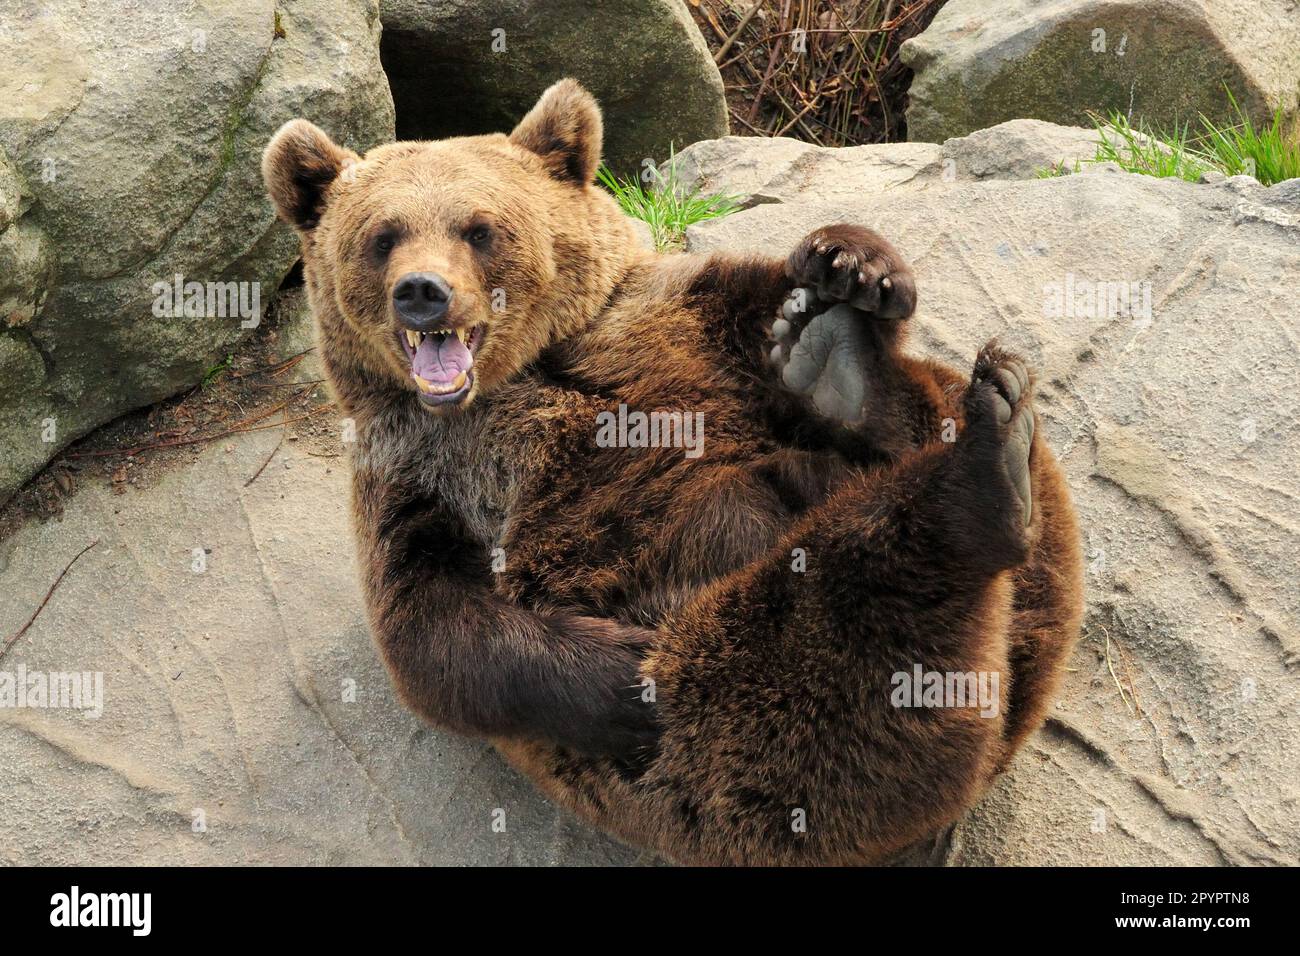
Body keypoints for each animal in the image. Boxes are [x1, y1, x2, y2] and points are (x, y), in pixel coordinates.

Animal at [261, 78, 1084, 866]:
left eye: (479, 228)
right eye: (383, 237)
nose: (423, 292)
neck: (522, 370)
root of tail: (1013, 707)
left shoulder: (660, 320)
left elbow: (756, 292)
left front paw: (851, 269)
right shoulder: (421, 473)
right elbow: (431, 627)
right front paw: (629, 677)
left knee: (930, 431)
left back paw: (871, 379)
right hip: (749, 754)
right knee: (836, 632)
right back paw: (980, 484)